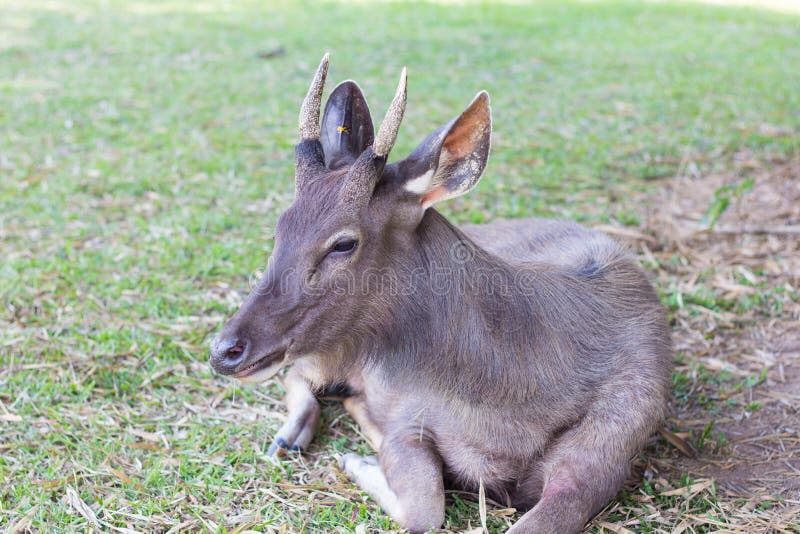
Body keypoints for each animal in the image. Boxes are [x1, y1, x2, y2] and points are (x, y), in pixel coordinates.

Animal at [209, 54, 672, 533]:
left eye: (343, 243)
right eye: (279, 227)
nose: (225, 350)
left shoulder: (609, 447)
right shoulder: (409, 416)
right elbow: (426, 509)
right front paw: (358, 458)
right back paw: (290, 436)